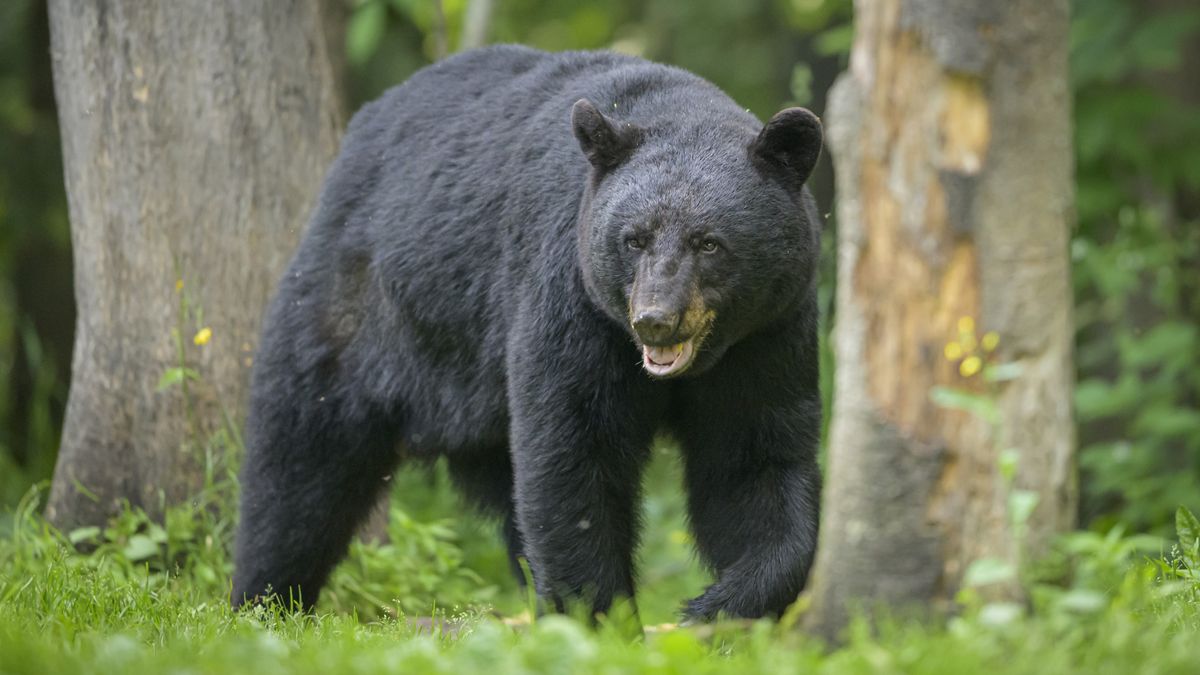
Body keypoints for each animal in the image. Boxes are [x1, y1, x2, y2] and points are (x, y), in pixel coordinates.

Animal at [231, 44, 823, 622]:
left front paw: (721, 604)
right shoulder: (571, 298)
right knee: (301, 463)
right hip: (357, 310)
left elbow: (752, 459)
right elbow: (572, 450)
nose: (655, 318)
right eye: (634, 238)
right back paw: (265, 600)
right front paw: (599, 616)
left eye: (709, 242)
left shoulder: (767, 334)